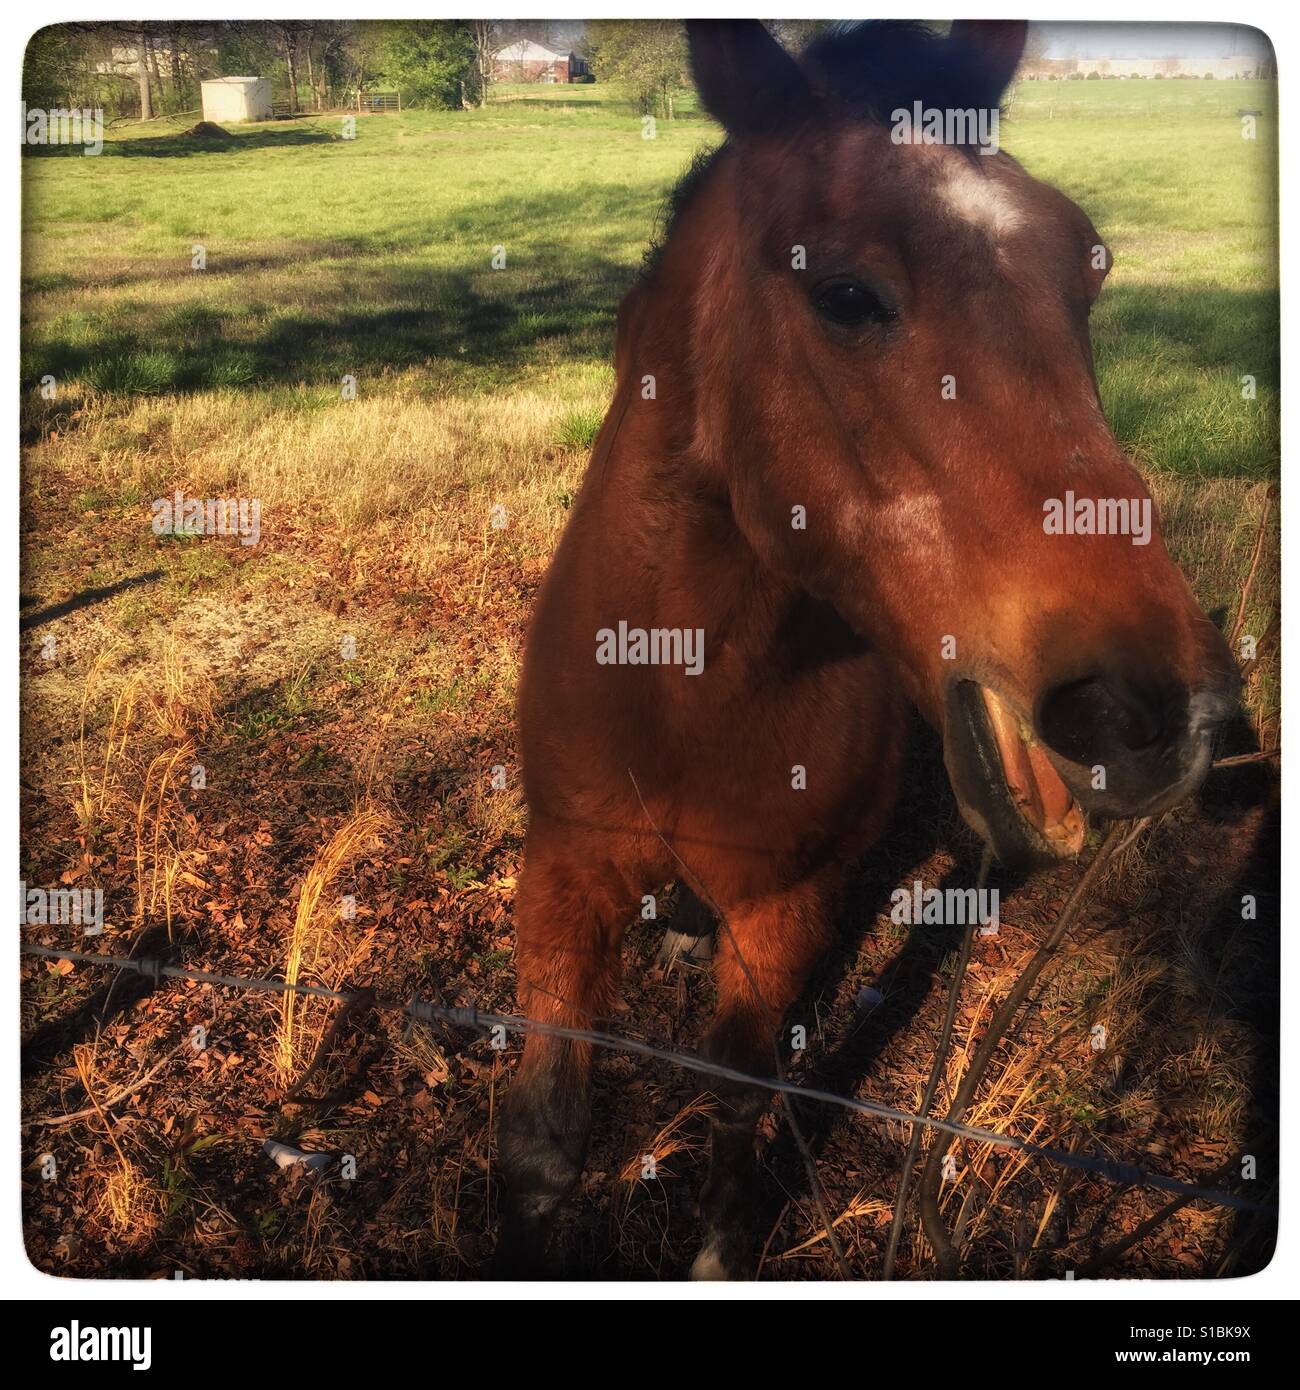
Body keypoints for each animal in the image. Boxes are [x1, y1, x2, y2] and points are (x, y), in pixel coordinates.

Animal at [496, 18, 1240, 1280]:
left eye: (1085, 267)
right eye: (844, 293)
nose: (1145, 714)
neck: (680, 681)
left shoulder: (787, 905)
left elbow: (741, 1087)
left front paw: (720, 1244)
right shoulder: (564, 869)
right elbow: (546, 1140)